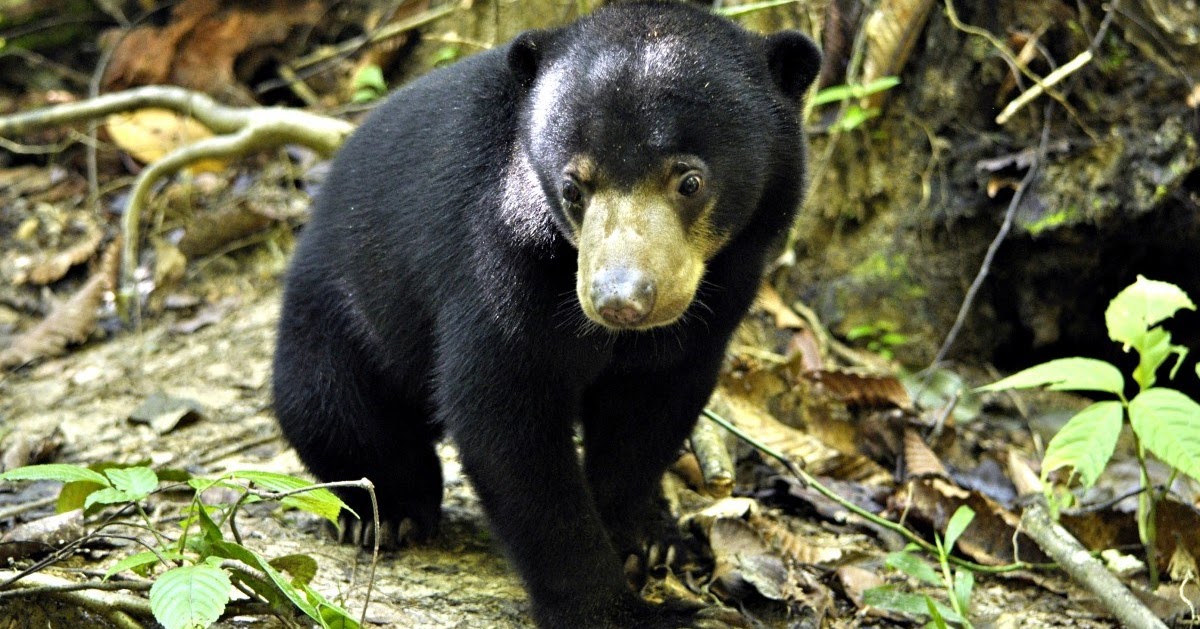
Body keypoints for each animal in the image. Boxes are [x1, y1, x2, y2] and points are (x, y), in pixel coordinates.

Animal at [272, 2, 820, 627]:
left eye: (690, 181)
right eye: (573, 188)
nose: (620, 300)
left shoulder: (724, 284)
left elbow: (652, 407)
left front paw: (640, 539)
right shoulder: (498, 257)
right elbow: (508, 416)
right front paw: (613, 608)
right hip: (339, 310)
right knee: (329, 406)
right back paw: (389, 513)